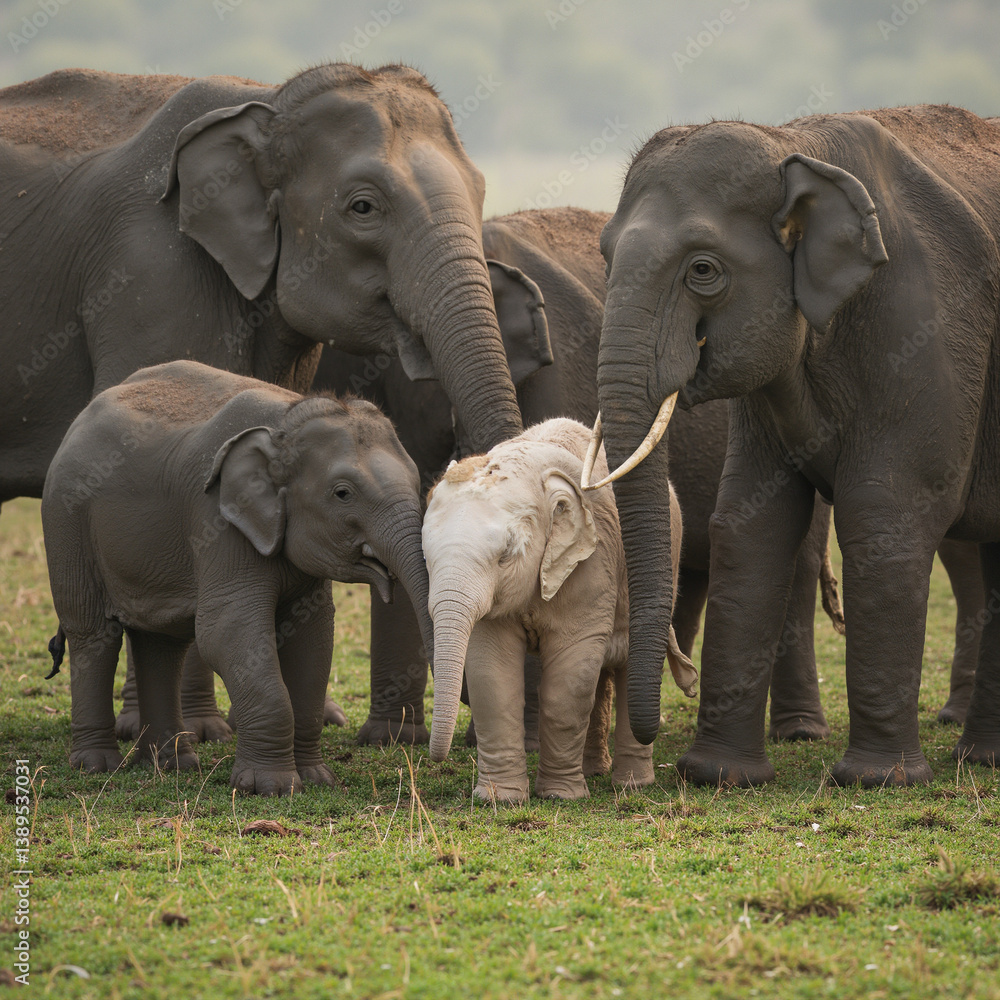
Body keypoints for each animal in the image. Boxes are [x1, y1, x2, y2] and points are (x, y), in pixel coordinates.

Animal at [41, 360, 432, 795]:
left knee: (160, 644)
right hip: (66, 519)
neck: (288, 419)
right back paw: (96, 766)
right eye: (342, 493)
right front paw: (271, 787)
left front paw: (316, 779)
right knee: (94, 635)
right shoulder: (218, 521)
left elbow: (313, 638)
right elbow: (226, 632)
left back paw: (172, 765)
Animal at [422, 418, 696, 803]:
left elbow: (570, 674)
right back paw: (594, 771)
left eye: (505, 555)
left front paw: (559, 797)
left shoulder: (593, 562)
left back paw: (631, 785)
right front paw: (499, 800)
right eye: (426, 558)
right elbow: (492, 675)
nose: (436, 758)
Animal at [593, 104, 1000, 787]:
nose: (653, 736)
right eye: (603, 257)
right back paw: (983, 758)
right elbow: (749, 520)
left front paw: (875, 780)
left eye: (703, 270)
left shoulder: (928, 326)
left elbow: (884, 512)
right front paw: (719, 777)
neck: (793, 143)